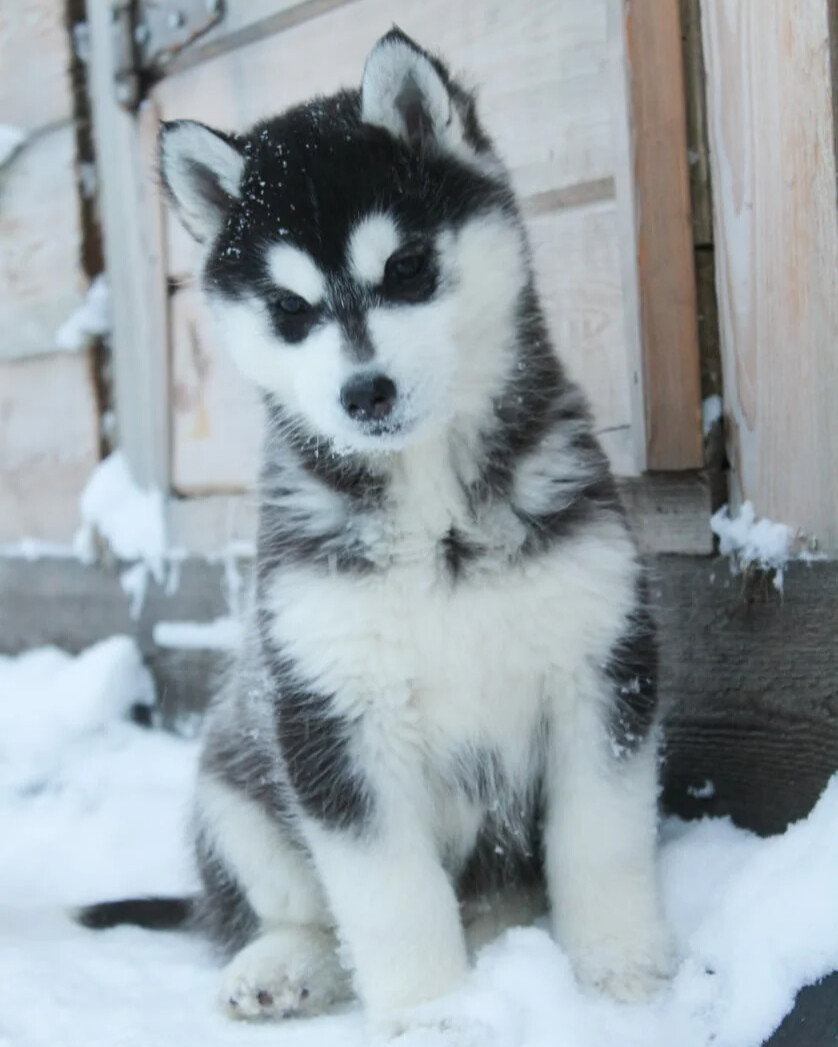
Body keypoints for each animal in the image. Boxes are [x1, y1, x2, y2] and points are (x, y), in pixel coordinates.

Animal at [84, 30, 674, 1030]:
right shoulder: (332, 714)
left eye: (405, 269)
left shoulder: (599, 665)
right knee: (284, 908)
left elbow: (601, 838)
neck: (436, 515)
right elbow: (388, 894)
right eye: (289, 309)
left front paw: (620, 973)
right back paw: (281, 965)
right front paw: (431, 1015)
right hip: (234, 783)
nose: (366, 393)